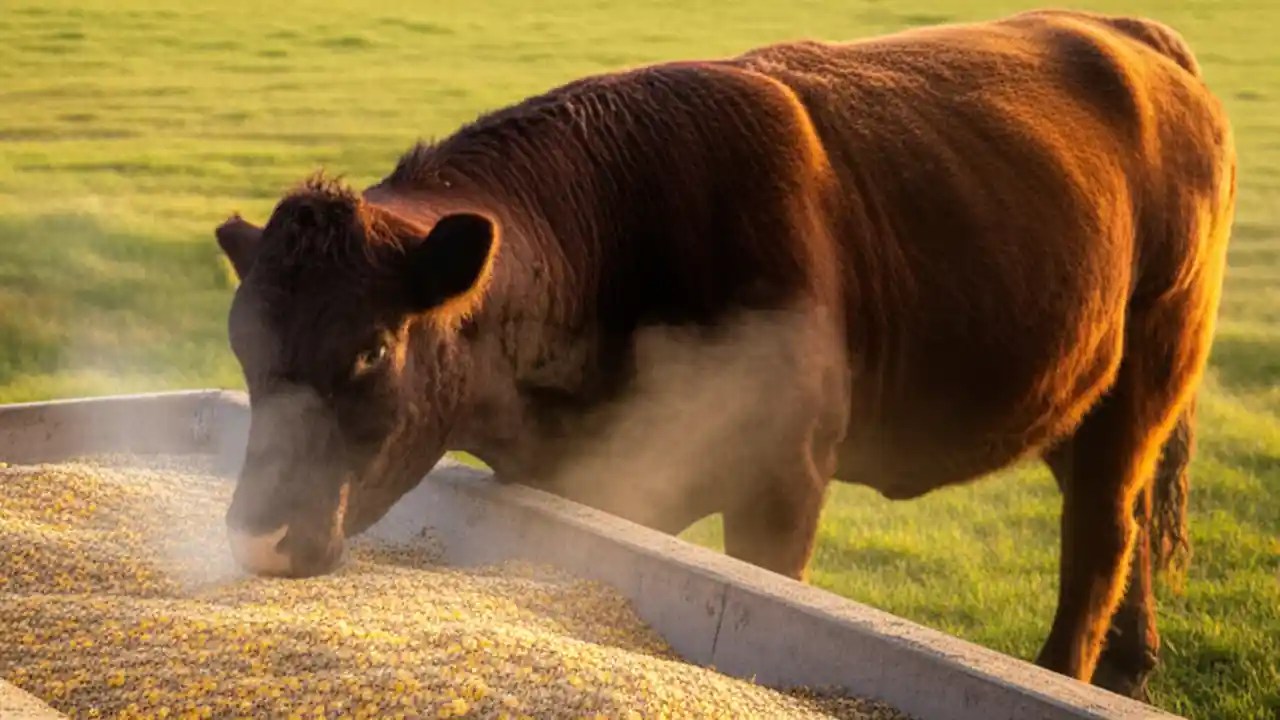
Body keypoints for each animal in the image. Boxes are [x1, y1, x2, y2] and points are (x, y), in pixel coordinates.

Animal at [212, 8, 1236, 700]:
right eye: (246, 354)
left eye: (373, 348)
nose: (258, 540)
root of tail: (1128, 33)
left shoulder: (784, 477)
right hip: (1077, 383)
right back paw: (1128, 667)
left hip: (1153, 359)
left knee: (1102, 530)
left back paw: (1070, 670)